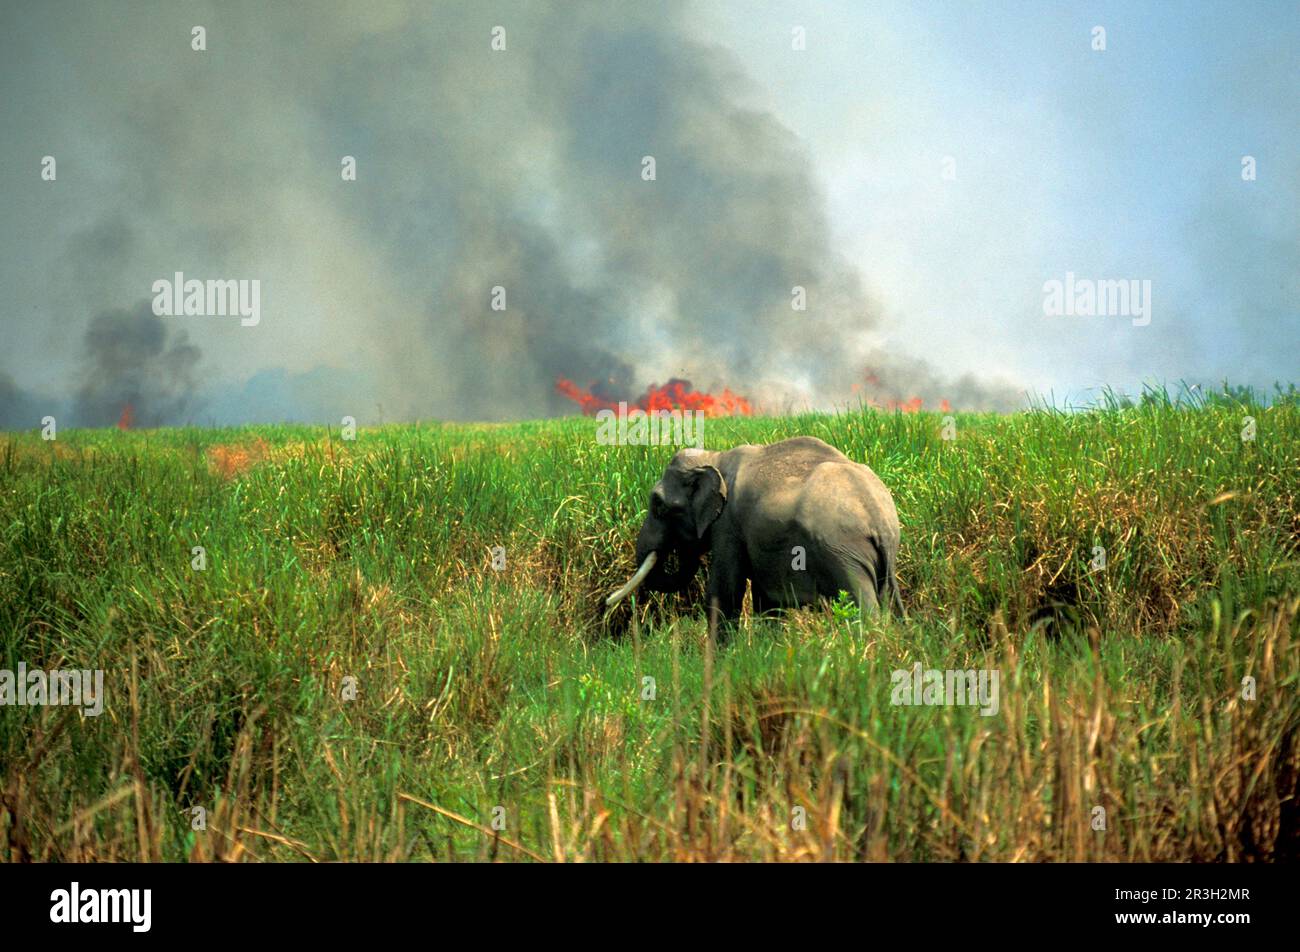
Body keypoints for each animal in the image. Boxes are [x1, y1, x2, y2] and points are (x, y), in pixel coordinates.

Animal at [605, 436, 903, 622]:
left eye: (658, 504)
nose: (606, 602)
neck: (715, 457)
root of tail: (879, 519)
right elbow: (766, 602)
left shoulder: (728, 525)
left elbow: (725, 593)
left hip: (843, 554)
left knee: (864, 607)